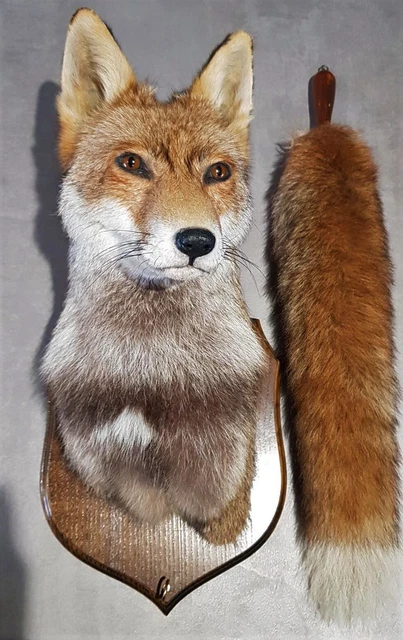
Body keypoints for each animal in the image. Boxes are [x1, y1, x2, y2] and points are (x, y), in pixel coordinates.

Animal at [41, 8, 268, 544]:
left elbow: (219, 519)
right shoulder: (106, 463)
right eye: (131, 163)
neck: (153, 373)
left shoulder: (220, 465)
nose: (197, 241)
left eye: (217, 173)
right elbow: (137, 507)